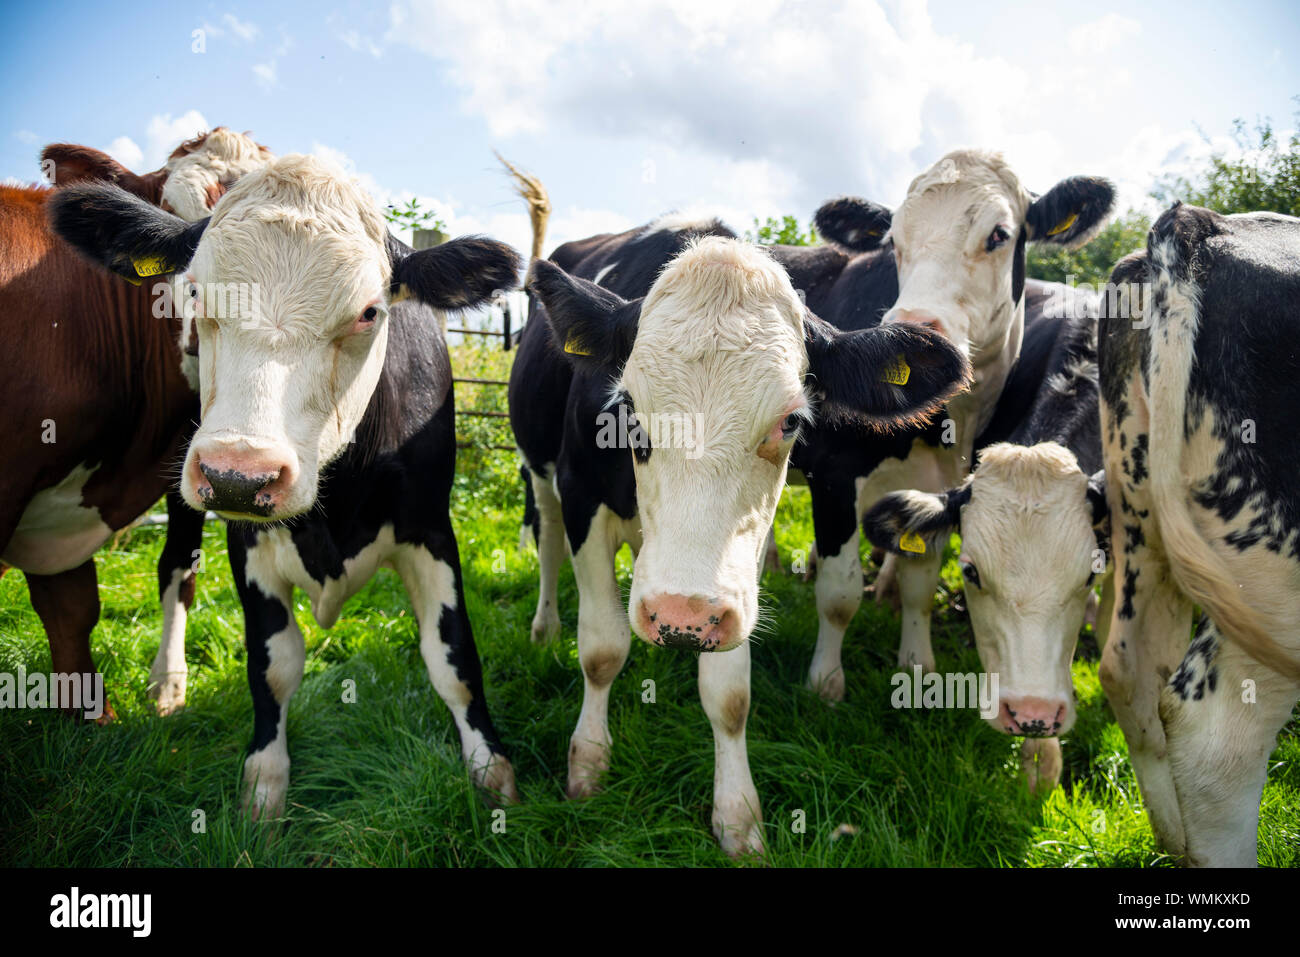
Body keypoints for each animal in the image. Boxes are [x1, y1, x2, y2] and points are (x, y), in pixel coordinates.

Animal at [49, 153, 523, 816]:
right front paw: (264, 782)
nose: (237, 474)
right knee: (176, 566)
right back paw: (168, 680)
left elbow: (452, 655)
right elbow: (273, 664)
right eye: (195, 291)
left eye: (369, 311)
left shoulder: (431, 525)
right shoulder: (246, 540)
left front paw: (489, 766)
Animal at [512, 222, 969, 854]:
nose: (678, 612)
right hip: (540, 472)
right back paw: (545, 625)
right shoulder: (582, 494)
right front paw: (588, 763)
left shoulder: (735, 576)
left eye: (792, 421)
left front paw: (737, 815)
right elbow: (602, 650)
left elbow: (729, 693)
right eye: (626, 409)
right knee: (549, 540)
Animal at [766, 150, 1115, 703]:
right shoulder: (833, 473)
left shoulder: (937, 485)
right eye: (894, 239)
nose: (913, 324)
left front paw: (918, 667)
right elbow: (840, 594)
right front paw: (825, 682)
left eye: (999, 234)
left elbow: (921, 587)